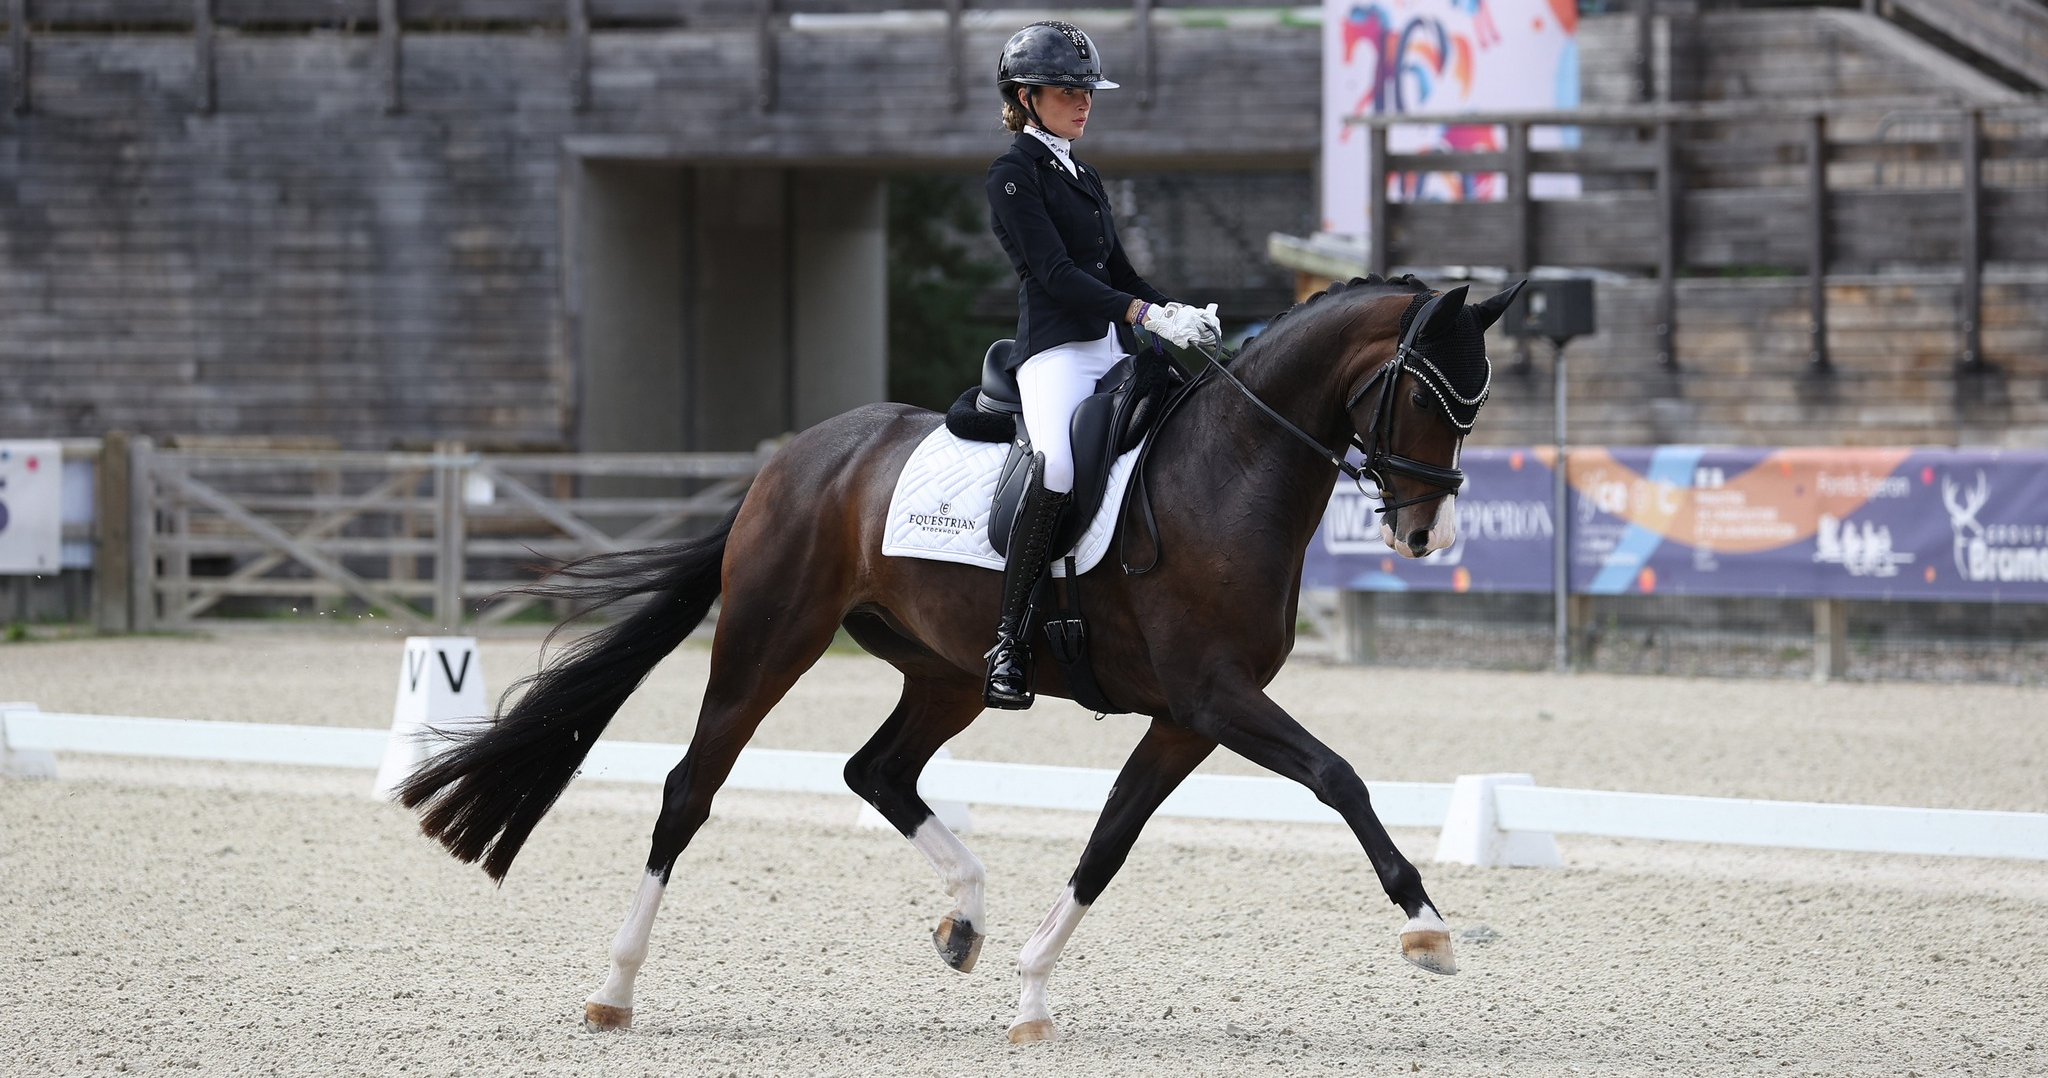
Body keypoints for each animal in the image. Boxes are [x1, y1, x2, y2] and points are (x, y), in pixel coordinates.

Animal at [397, 273, 1525, 1043]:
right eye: (1427, 396)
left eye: (1472, 405)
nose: (1425, 536)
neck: (1231, 469)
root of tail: (795, 459)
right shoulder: (1216, 697)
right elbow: (1339, 776)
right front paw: (1427, 927)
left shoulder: (1184, 717)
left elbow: (1108, 842)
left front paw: (1029, 991)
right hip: (769, 640)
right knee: (690, 789)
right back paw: (614, 988)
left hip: (945, 672)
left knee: (878, 771)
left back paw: (964, 918)